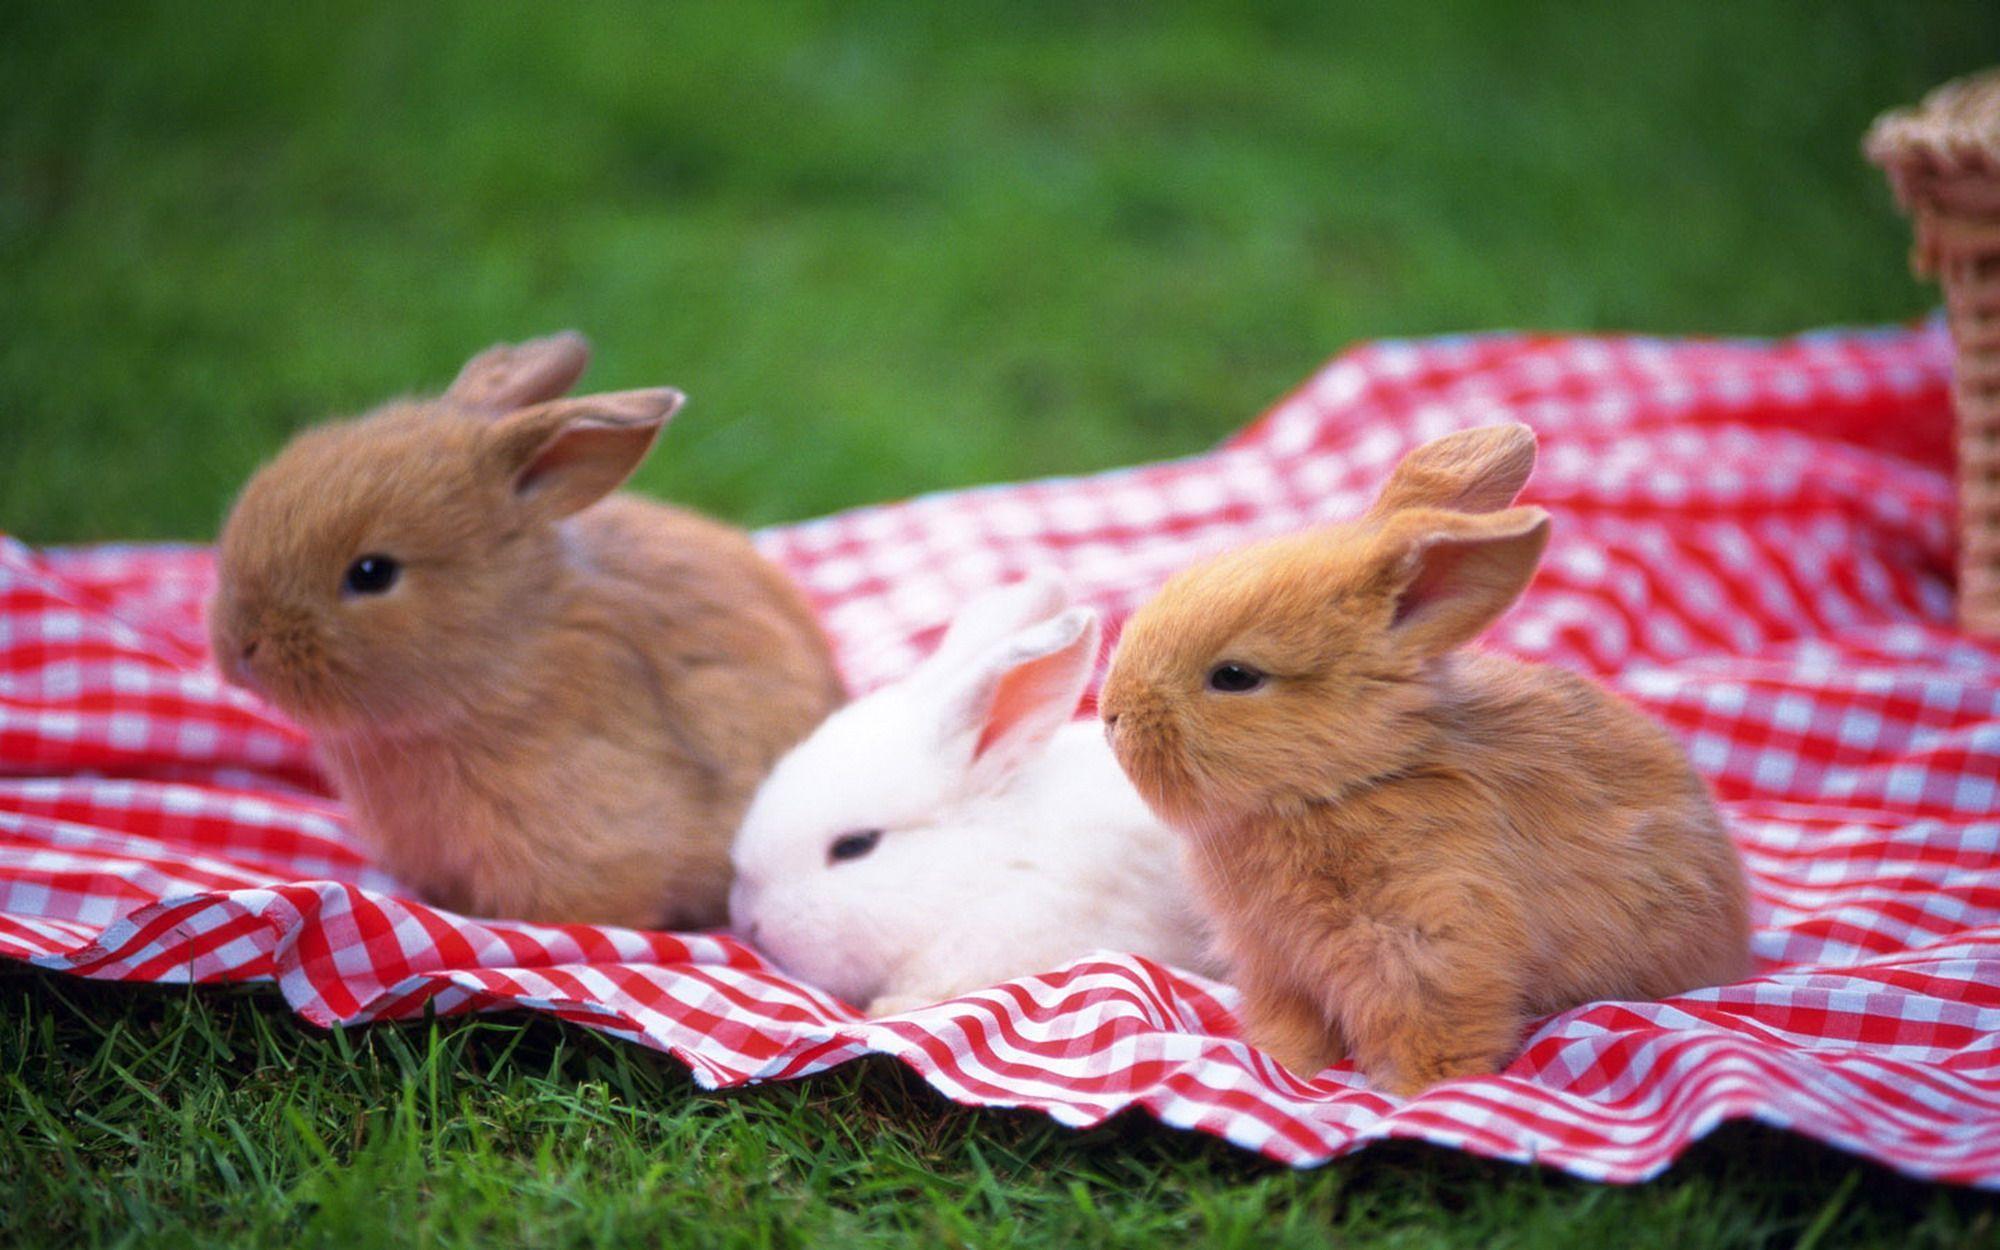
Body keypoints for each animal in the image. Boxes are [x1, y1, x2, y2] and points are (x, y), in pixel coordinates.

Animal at [1098, 424, 1752, 1097]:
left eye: (1235, 676)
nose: (1111, 713)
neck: (1354, 783)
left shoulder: (1431, 947)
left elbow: (1434, 1026)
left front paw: (1416, 1091)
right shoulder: (1278, 968)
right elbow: (1294, 1029)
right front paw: (1287, 1064)